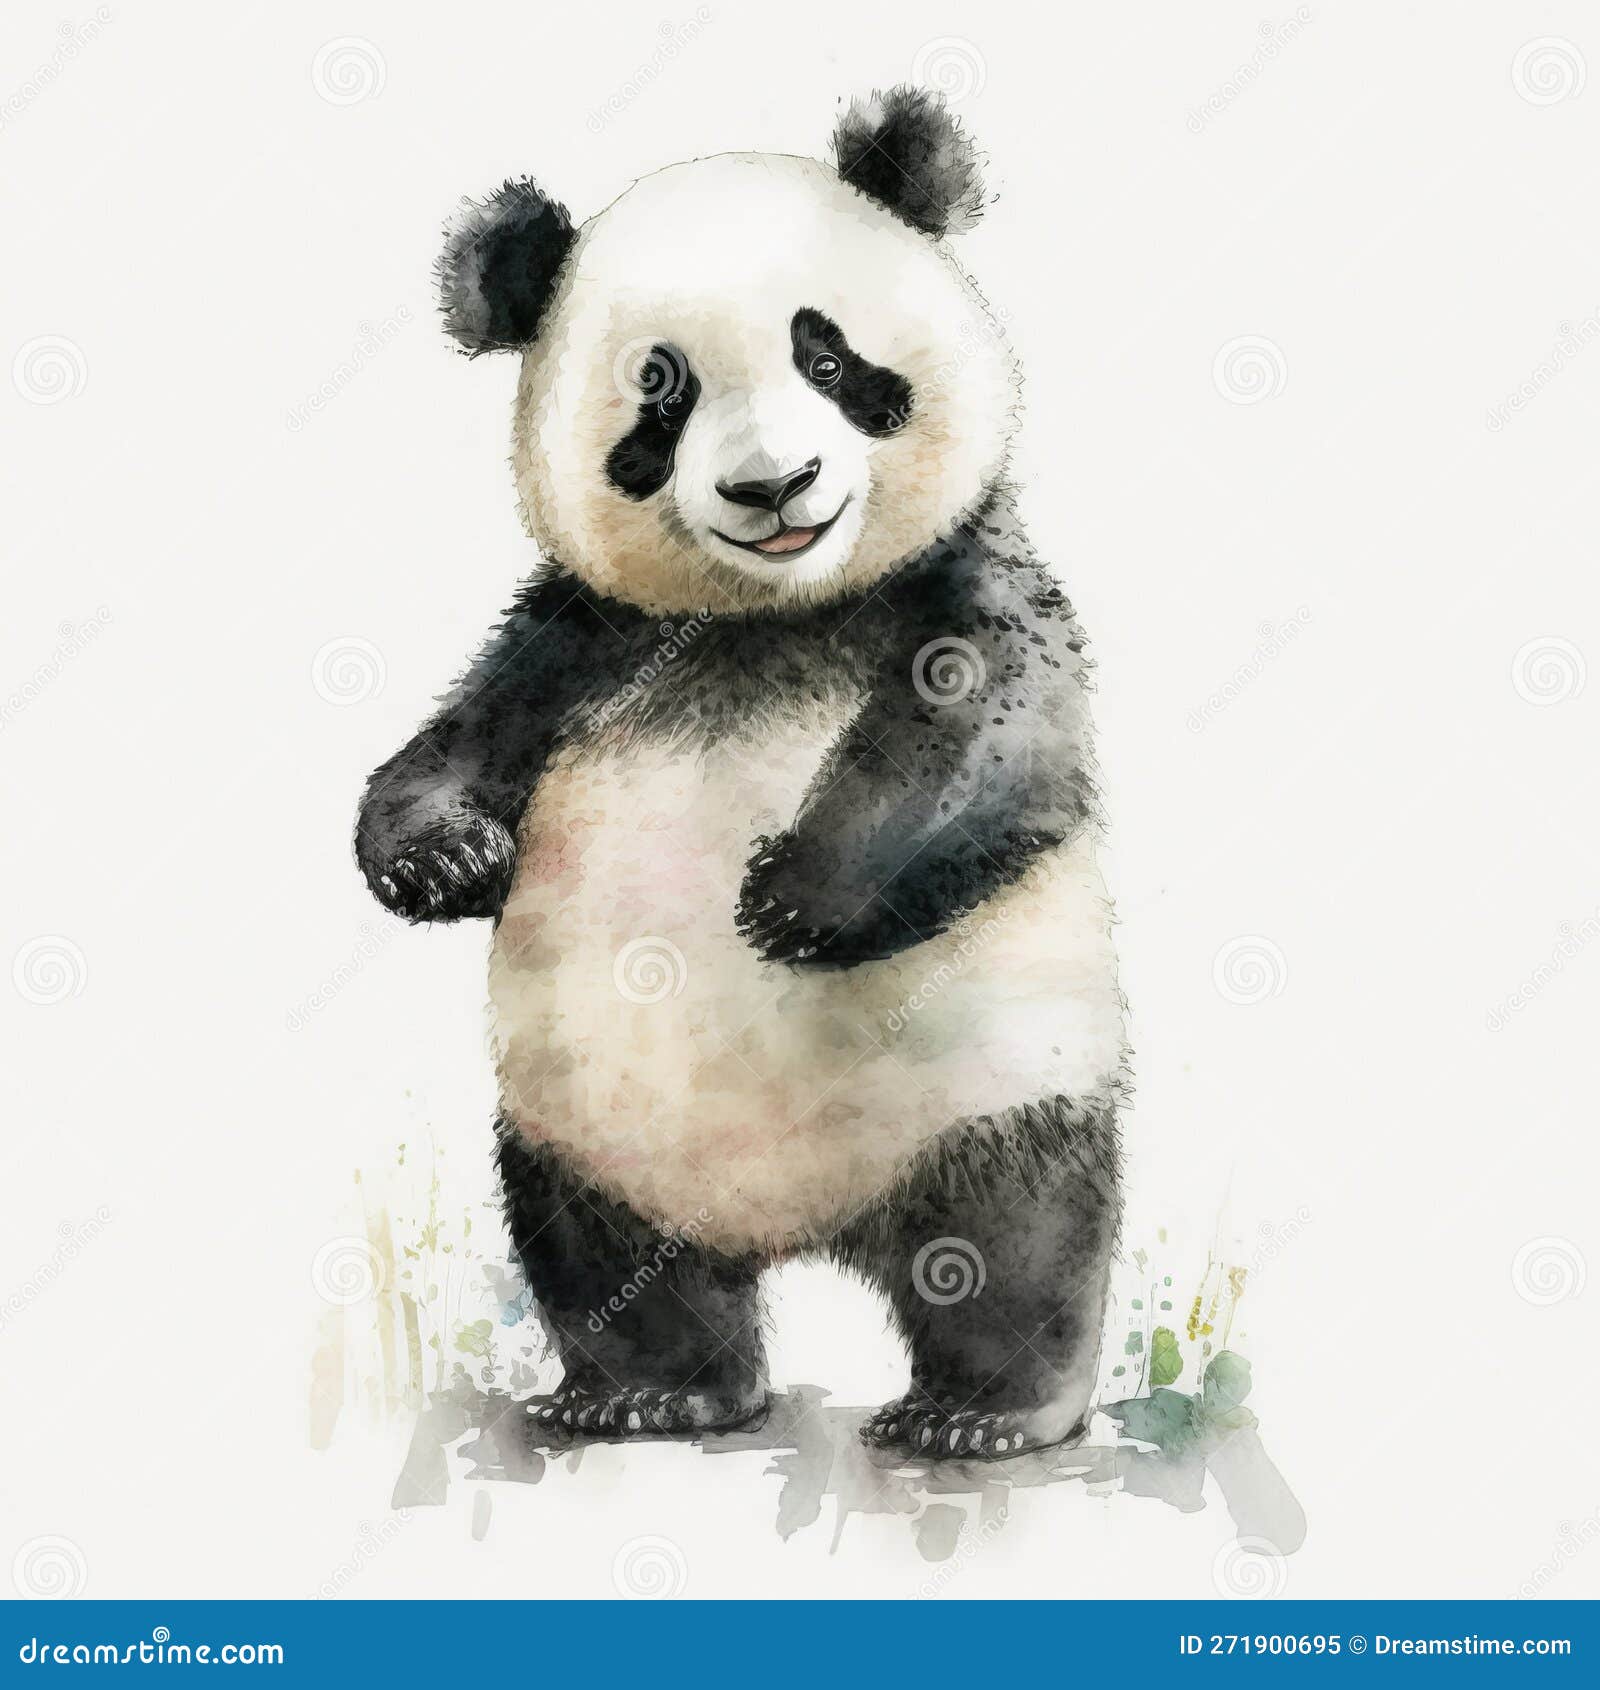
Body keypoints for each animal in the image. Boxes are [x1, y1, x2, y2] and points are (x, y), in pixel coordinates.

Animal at [357, 87, 1126, 1462]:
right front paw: (446, 857)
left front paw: (792, 899)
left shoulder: (964, 575)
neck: (773, 613)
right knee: (602, 1252)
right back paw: (652, 1392)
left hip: (999, 1078)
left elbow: (1004, 733)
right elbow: (453, 743)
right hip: (578, 1125)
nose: (775, 487)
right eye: (659, 397)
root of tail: (801, 1224)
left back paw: (982, 1412)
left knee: (1013, 1234)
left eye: (827, 358)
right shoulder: (583, 637)